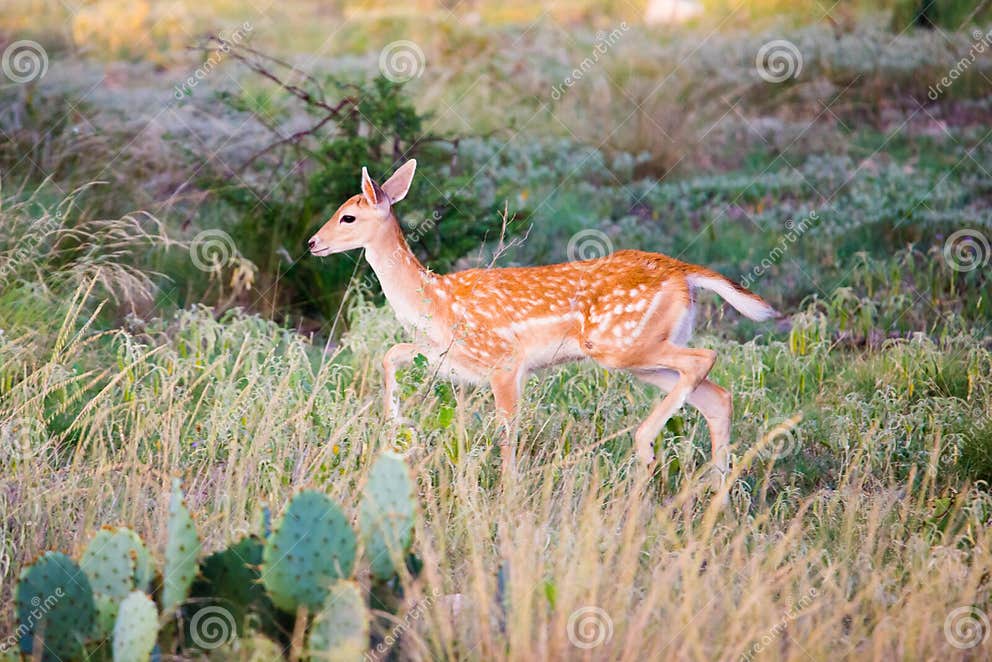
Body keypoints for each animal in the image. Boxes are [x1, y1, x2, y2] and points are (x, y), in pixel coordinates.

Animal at [308, 160, 779, 486]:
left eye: (348, 216)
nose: (313, 243)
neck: (436, 302)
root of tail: (683, 272)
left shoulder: (504, 362)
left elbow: (507, 434)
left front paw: (508, 493)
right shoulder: (450, 358)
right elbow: (391, 355)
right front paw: (397, 426)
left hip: (622, 344)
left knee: (705, 358)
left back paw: (645, 446)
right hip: (644, 356)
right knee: (717, 396)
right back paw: (715, 493)